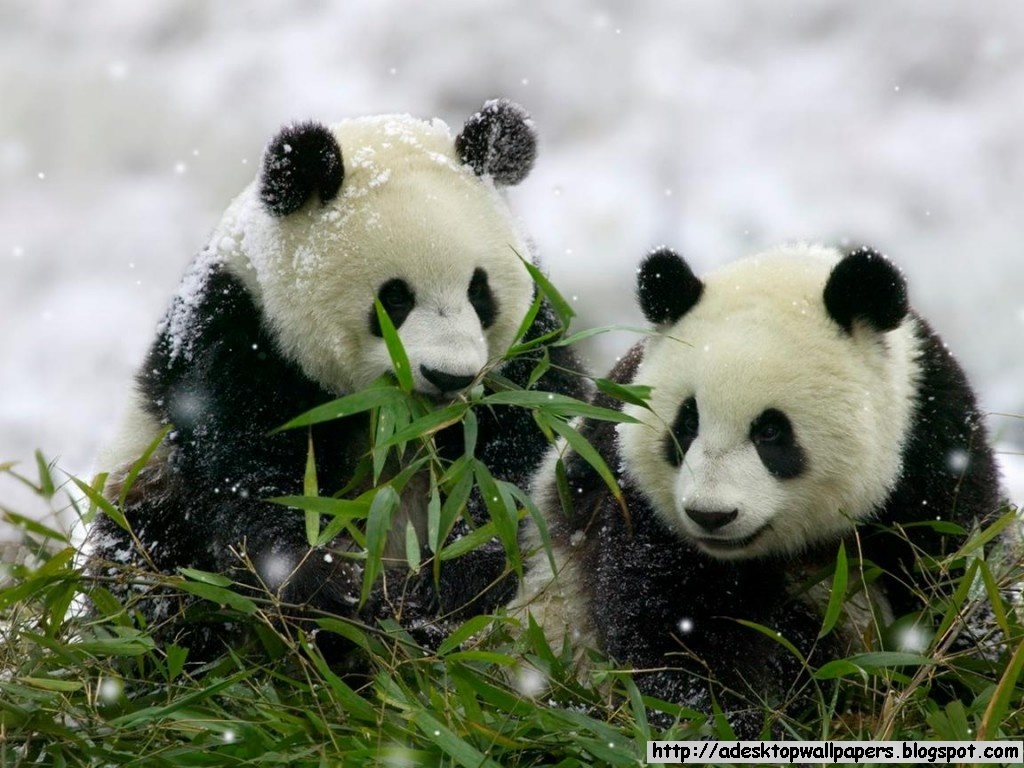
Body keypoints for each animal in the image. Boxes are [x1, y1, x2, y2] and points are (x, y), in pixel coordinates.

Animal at [87, 99, 587, 657]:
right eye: (394, 299)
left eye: (480, 292)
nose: (449, 375)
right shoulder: (236, 339)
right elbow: (254, 483)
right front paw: (335, 590)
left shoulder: (528, 354)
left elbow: (519, 464)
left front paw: (443, 589)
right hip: (145, 487)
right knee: (147, 575)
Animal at [512, 242, 1010, 737]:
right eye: (686, 423)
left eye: (771, 432)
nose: (711, 515)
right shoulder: (634, 493)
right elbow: (679, 624)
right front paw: (728, 723)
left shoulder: (931, 438)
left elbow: (952, 574)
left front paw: (964, 684)